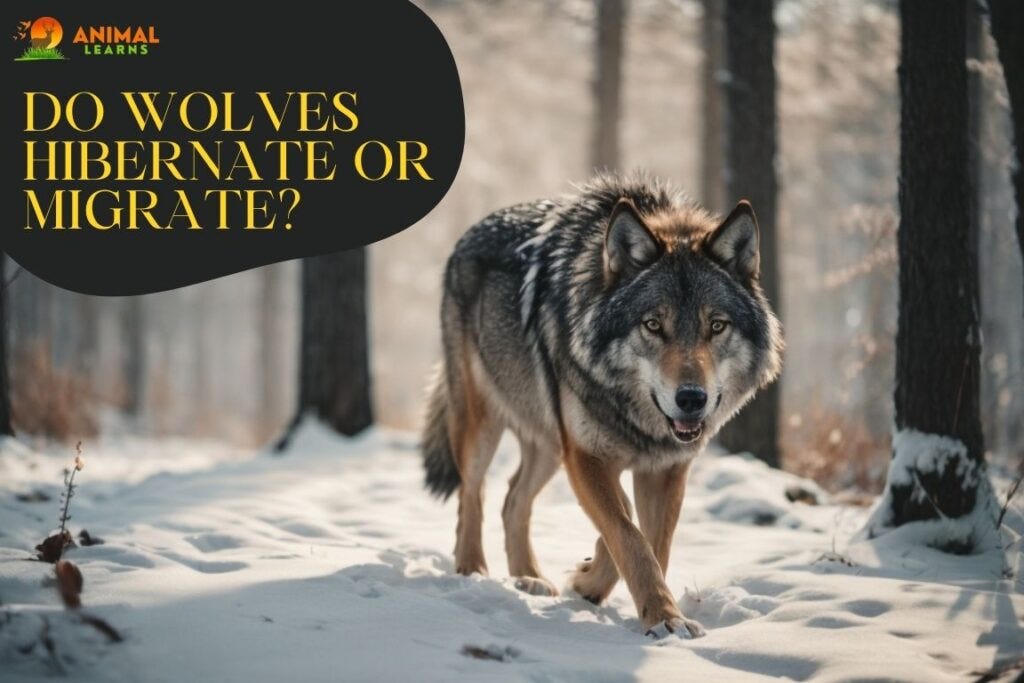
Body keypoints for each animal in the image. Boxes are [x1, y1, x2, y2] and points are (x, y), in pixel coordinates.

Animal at [421, 173, 783, 638]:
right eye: (653, 325)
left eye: (716, 326)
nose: (691, 399)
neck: (636, 419)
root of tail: (470, 231)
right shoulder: (586, 456)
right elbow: (629, 536)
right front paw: (664, 620)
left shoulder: (664, 470)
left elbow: (651, 541)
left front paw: (598, 586)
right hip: (483, 425)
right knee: (474, 493)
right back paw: (473, 570)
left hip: (550, 445)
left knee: (513, 499)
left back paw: (529, 578)